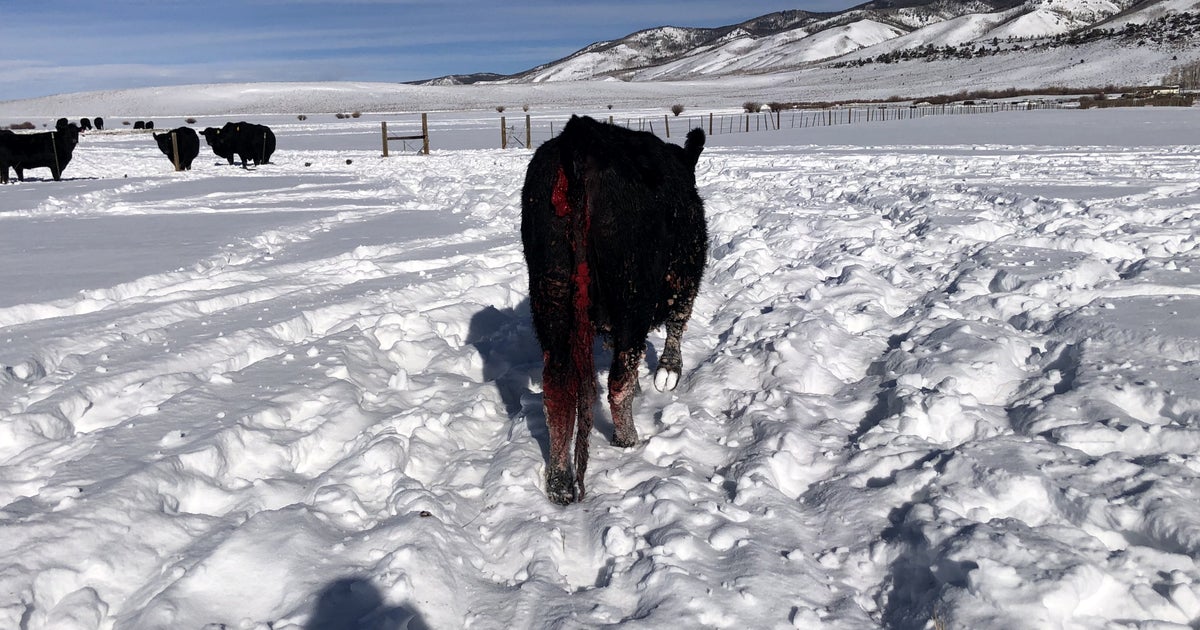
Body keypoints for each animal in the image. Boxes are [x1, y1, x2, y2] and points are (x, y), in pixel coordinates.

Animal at [520, 115, 708, 504]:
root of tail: (581, 136)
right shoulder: (686, 270)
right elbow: (678, 321)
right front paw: (668, 373)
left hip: (550, 288)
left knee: (557, 387)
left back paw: (559, 483)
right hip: (632, 292)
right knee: (619, 377)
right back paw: (628, 440)